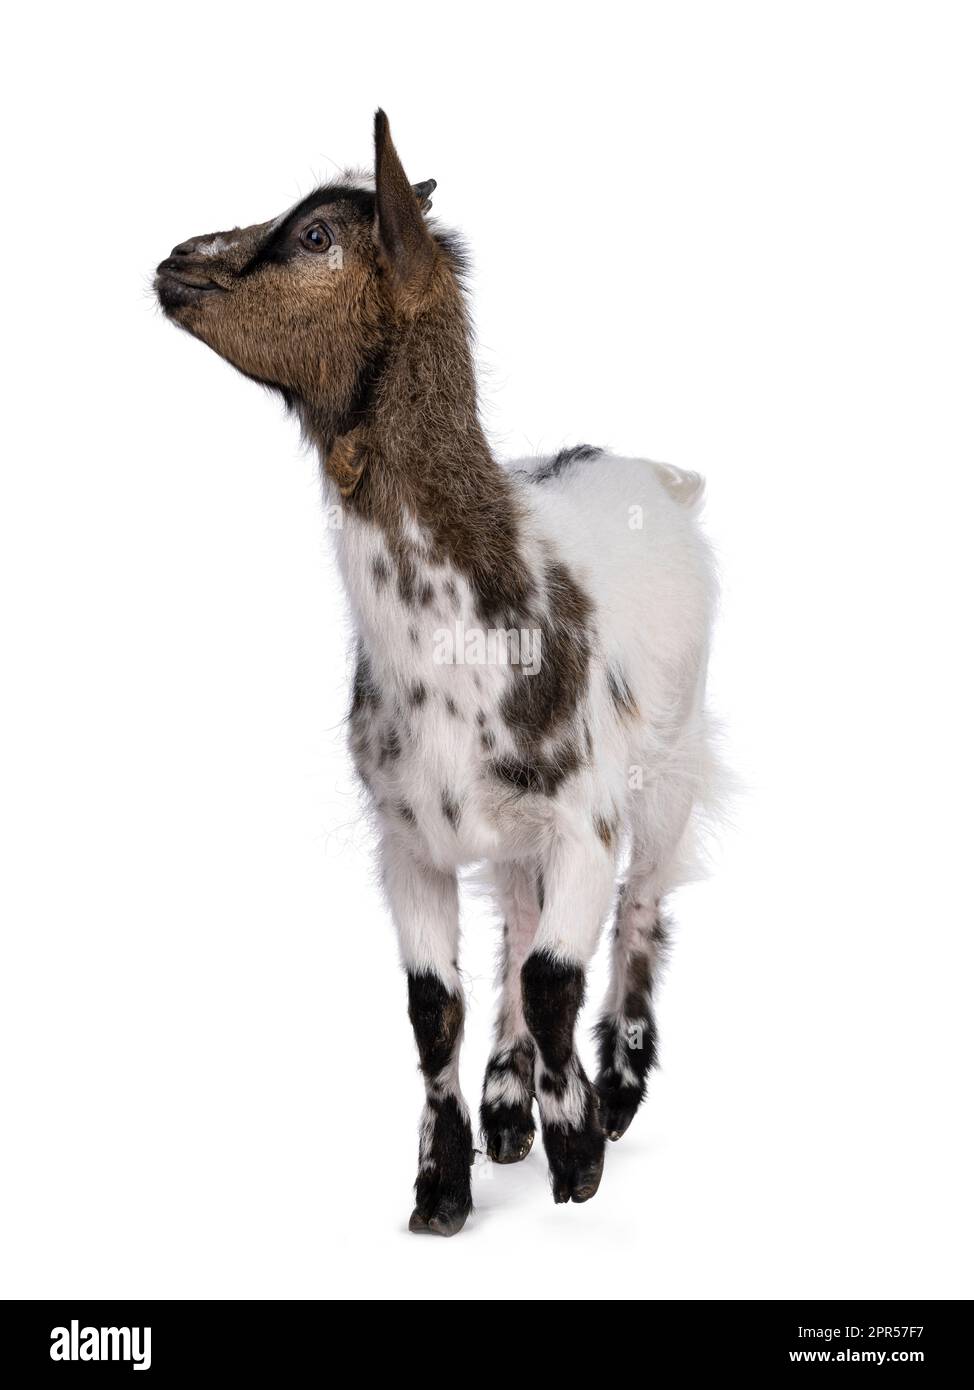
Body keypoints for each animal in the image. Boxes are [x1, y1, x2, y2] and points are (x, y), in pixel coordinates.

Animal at [155, 111, 717, 1236]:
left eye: (317, 234)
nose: (173, 264)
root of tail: (660, 476)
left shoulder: (583, 814)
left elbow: (556, 976)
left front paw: (579, 1156)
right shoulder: (407, 836)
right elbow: (434, 1008)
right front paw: (442, 1185)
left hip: (671, 759)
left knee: (641, 900)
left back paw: (619, 1087)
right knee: (513, 918)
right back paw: (506, 1106)